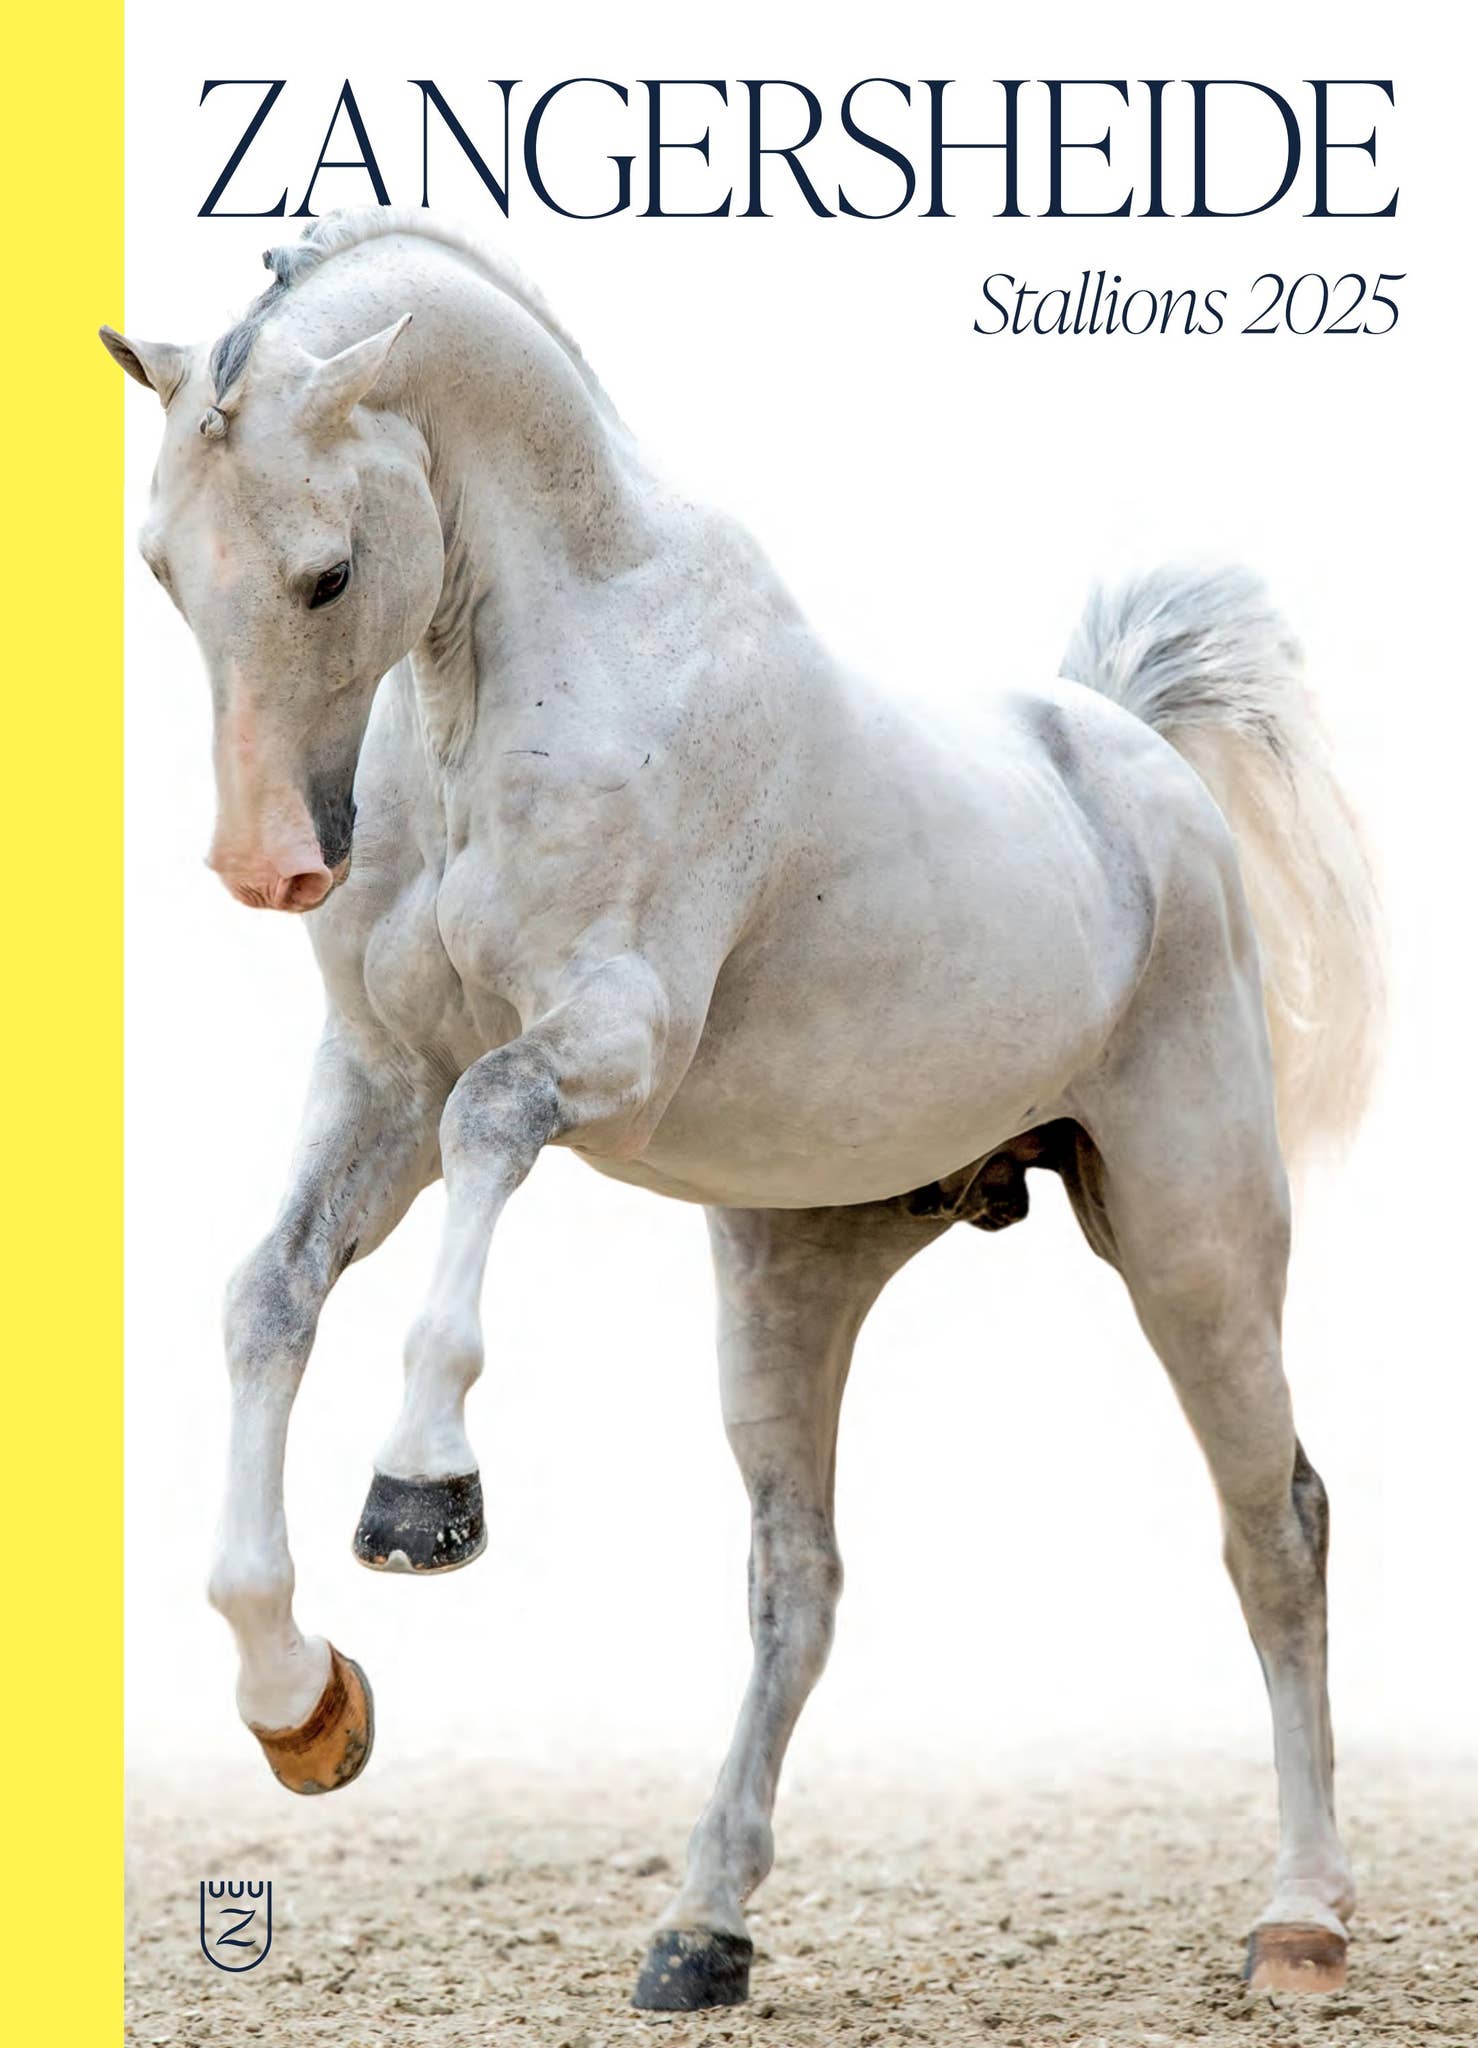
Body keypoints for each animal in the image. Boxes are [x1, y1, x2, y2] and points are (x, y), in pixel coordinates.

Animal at [104, 209, 1382, 2013]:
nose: (269, 866)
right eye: (163, 567)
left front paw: (422, 1492)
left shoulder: (604, 1047)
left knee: (1274, 1530)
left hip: (1192, 1236)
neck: (533, 667)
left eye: (329, 573)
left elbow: (495, 1122)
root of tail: (1128, 751)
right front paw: (300, 1697)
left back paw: (1300, 1917)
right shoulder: (377, 1084)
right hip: (795, 1267)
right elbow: (268, 1293)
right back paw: (702, 1925)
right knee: (798, 1583)